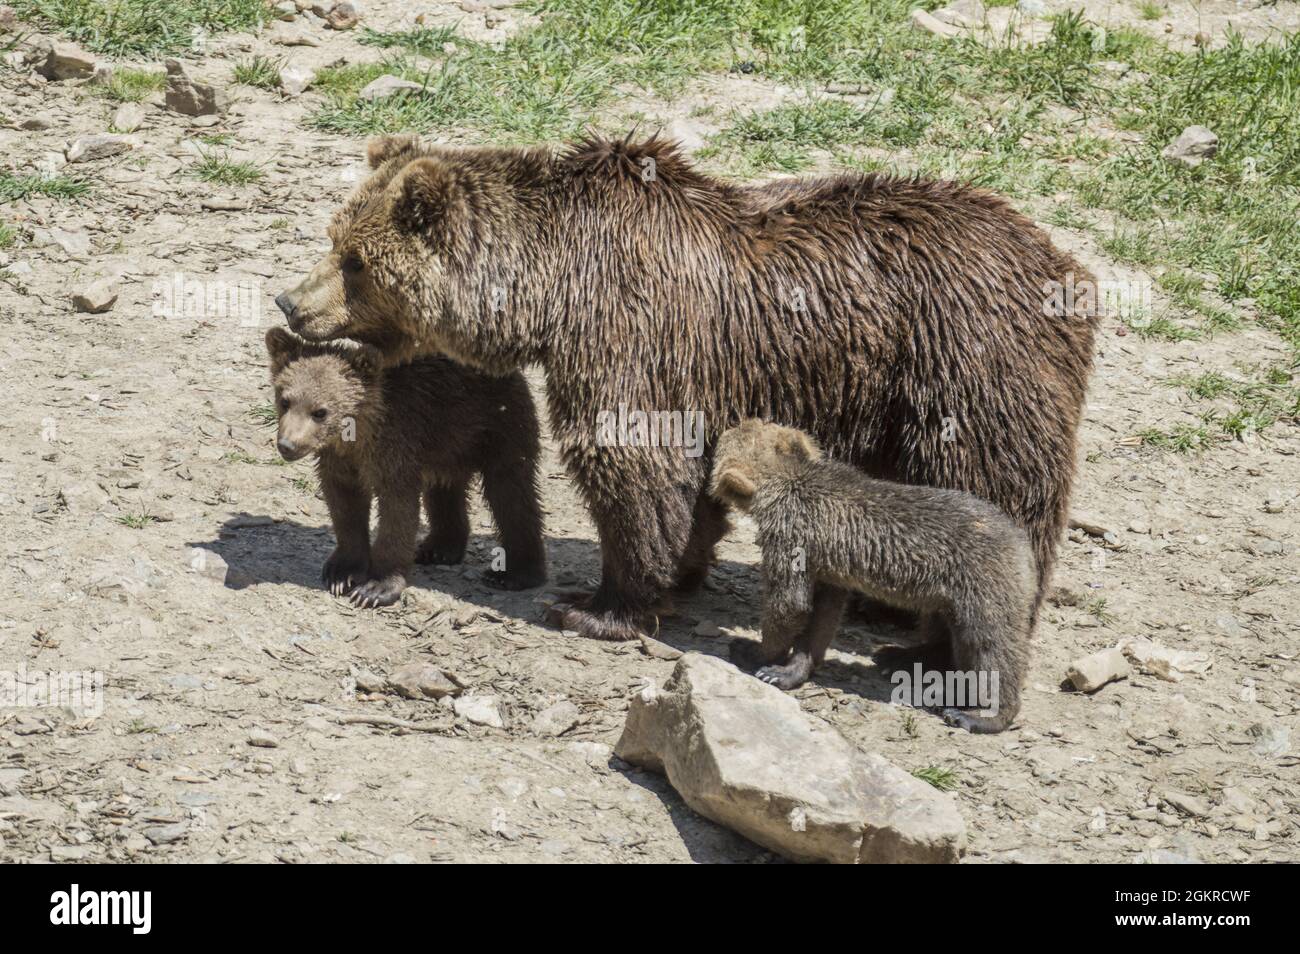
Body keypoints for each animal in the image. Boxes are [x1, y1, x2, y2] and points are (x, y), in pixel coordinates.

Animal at [265, 326, 547, 606]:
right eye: (285, 400)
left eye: (320, 412)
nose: (287, 444)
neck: (358, 437)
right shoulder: (340, 461)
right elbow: (345, 507)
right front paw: (341, 573)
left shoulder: (396, 447)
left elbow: (398, 511)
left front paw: (375, 588)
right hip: (447, 444)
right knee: (445, 490)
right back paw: (440, 548)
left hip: (497, 425)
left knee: (510, 492)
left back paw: (514, 574)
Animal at [710, 419, 1035, 733]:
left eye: (730, 435)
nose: (725, 426)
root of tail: (1024, 548)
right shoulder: (826, 567)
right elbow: (821, 618)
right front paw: (789, 671)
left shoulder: (791, 537)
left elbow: (789, 604)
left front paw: (755, 653)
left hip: (984, 585)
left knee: (992, 646)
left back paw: (976, 715)